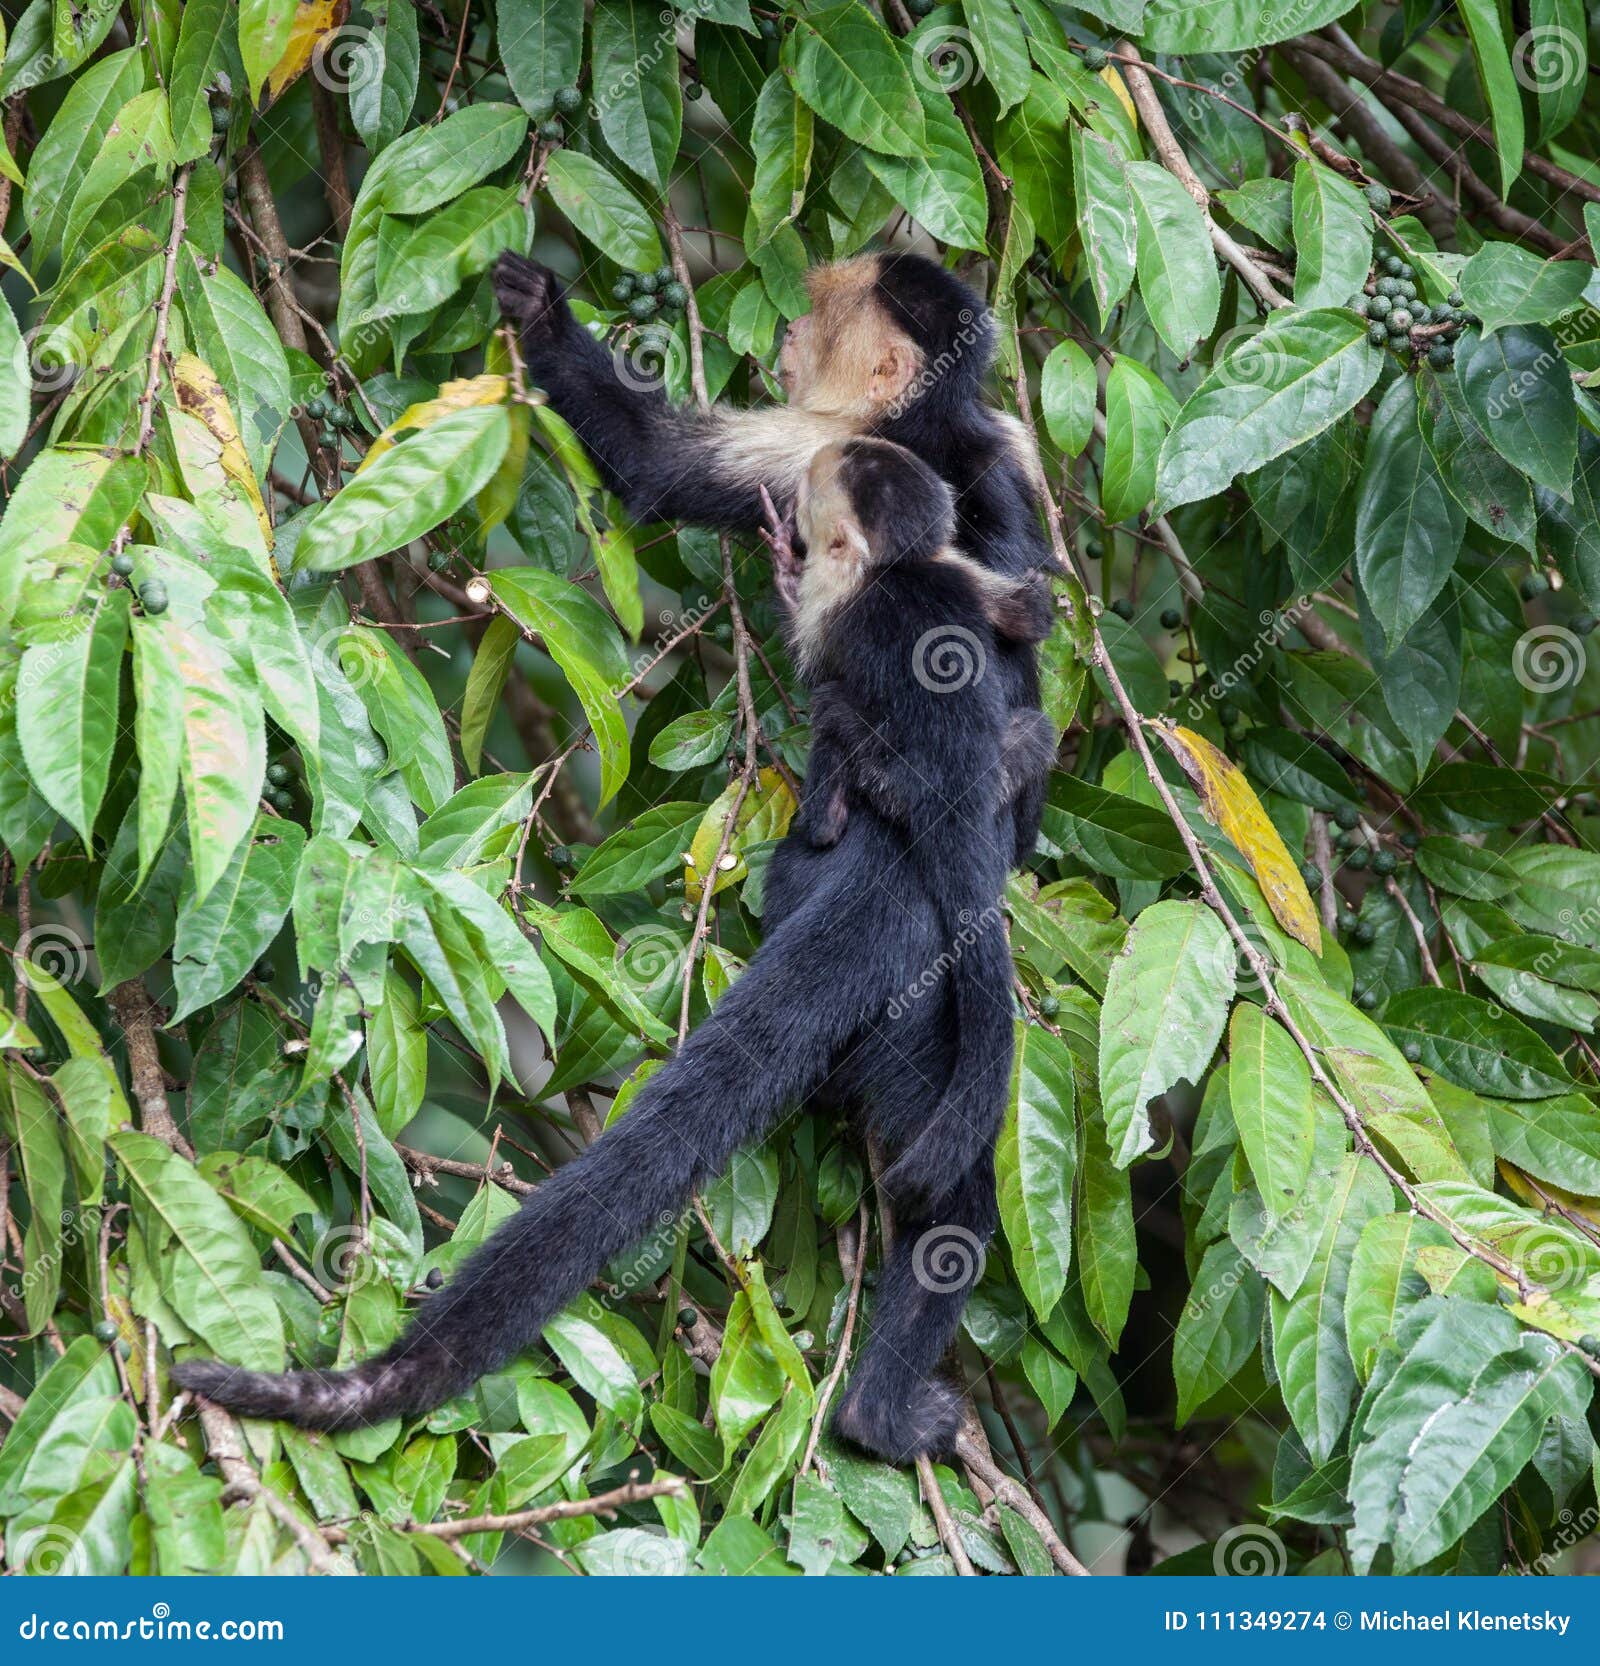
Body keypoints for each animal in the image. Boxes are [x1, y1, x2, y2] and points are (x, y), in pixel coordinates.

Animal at [492, 247, 1056, 868]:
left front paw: (541, 309)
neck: (924, 414)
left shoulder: (819, 447)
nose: (791, 329)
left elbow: (655, 461)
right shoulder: (1010, 438)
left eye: (823, 318)